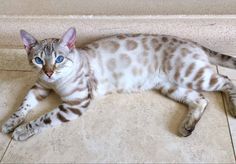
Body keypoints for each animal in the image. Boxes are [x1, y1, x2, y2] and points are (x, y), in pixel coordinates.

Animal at [1, 27, 236, 141]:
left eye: (59, 59)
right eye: (39, 60)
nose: (49, 72)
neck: (55, 84)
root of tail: (194, 42)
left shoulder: (75, 104)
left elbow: (43, 118)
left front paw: (20, 131)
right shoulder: (39, 87)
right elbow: (23, 106)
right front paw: (10, 123)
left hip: (189, 74)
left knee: (226, 81)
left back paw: (233, 108)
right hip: (171, 86)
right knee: (201, 100)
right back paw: (186, 127)